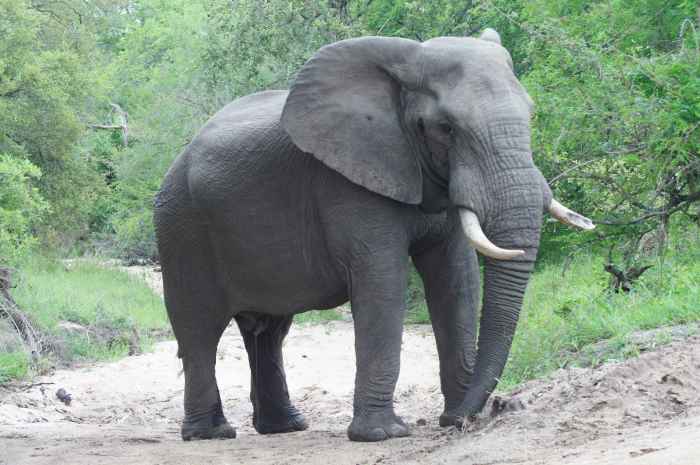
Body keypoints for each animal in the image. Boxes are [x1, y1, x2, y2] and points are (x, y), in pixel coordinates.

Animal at [154, 29, 594, 443]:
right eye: (446, 128)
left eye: (531, 115)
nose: (465, 418)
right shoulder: (348, 181)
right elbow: (382, 280)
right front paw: (384, 434)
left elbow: (457, 278)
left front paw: (461, 416)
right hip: (180, 226)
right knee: (199, 329)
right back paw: (211, 433)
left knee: (269, 331)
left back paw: (285, 427)